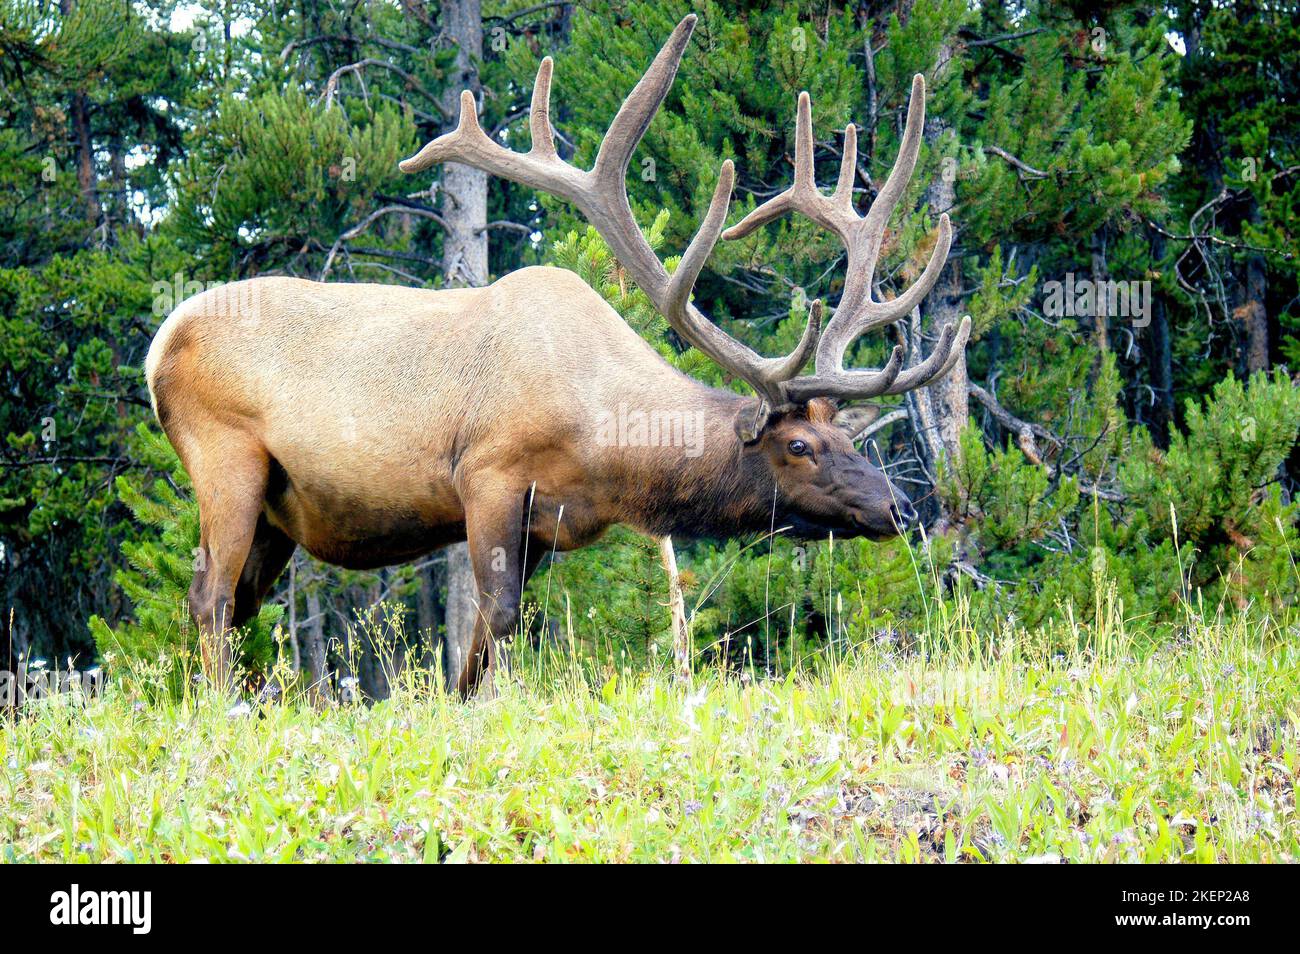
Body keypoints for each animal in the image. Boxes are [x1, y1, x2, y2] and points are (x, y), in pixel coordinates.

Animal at [145, 14, 968, 697]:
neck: (606, 447)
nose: (898, 507)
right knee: (209, 598)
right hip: (226, 458)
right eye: (799, 445)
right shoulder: (487, 476)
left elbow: (491, 635)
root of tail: (157, 349)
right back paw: (219, 708)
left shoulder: (546, 524)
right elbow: (499, 617)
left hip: (280, 513)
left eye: (849, 436)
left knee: (234, 602)